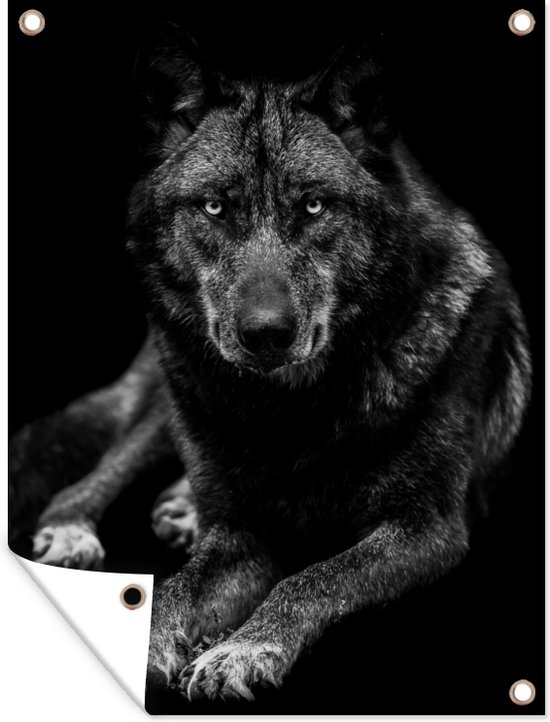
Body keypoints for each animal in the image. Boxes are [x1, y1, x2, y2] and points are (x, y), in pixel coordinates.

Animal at [9, 25, 531, 702]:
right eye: (214, 208)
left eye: (313, 207)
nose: (265, 335)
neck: (291, 414)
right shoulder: (241, 536)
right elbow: (177, 588)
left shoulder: (429, 528)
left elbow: (315, 576)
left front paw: (242, 649)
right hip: (174, 402)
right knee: (93, 473)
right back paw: (78, 526)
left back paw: (180, 510)